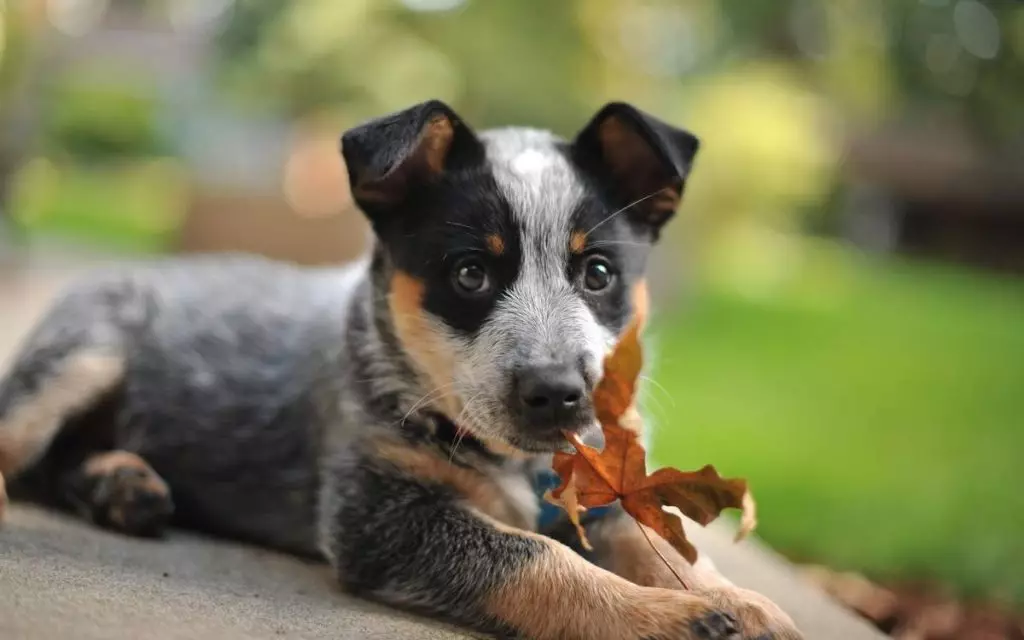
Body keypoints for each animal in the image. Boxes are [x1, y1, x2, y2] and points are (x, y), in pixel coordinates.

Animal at [0, 102, 798, 634]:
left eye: (598, 273)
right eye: (471, 273)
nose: (559, 394)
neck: (520, 466)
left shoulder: (604, 491)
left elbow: (664, 541)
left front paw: (743, 603)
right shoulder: (380, 515)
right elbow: (537, 558)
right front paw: (673, 618)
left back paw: (121, 485)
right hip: (83, 354)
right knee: (23, 450)